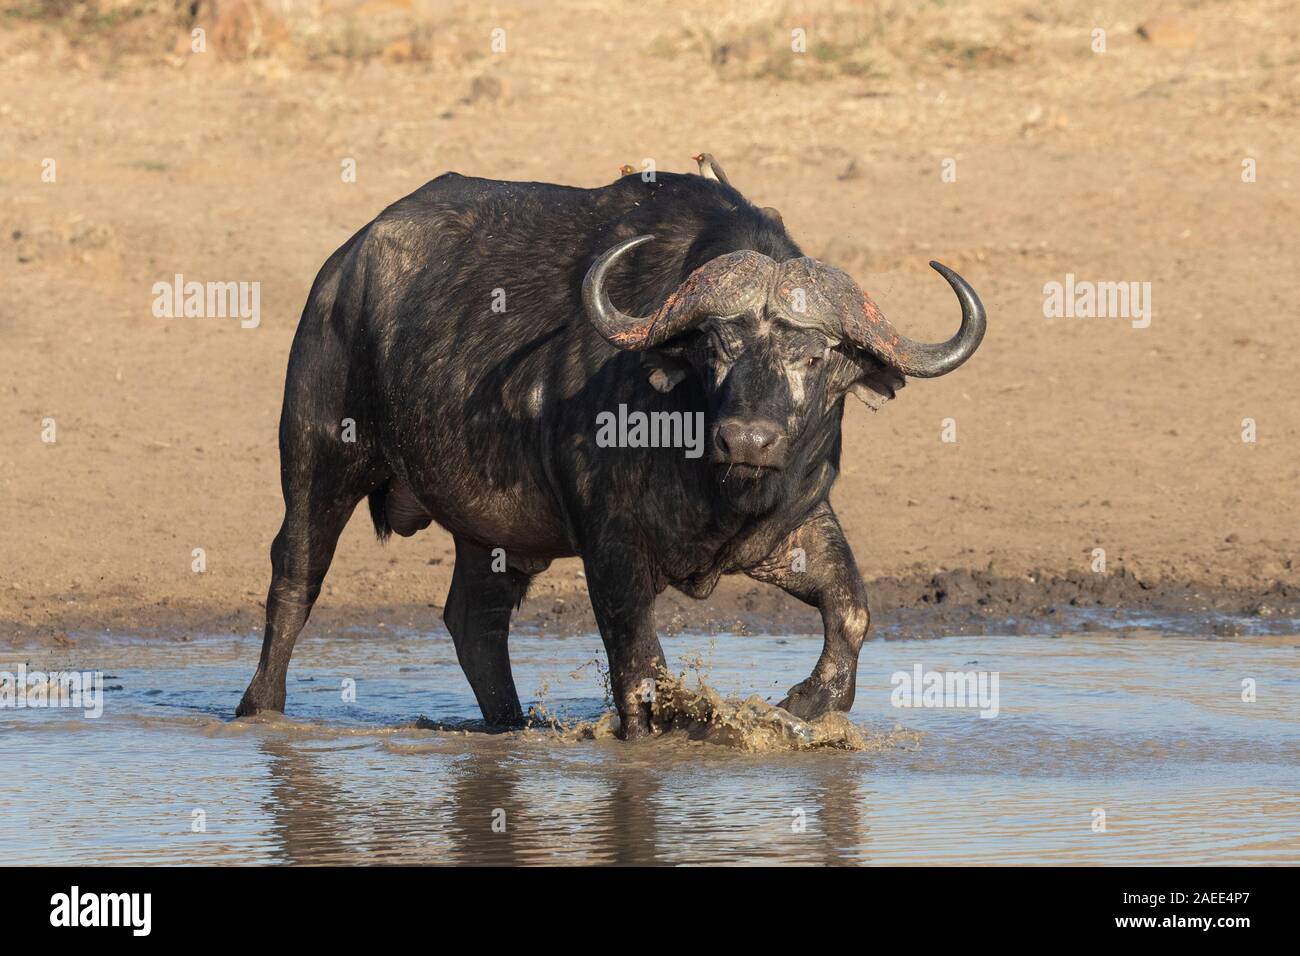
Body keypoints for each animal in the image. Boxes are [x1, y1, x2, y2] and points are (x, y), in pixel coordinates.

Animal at [235, 158, 986, 738]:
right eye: (719, 346)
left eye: (816, 356)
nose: (747, 438)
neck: (703, 469)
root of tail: (342, 269)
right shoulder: (611, 545)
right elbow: (640, 667)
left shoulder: (793, 524)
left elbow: (851, 608)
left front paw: (806, 703)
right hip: (319, 459)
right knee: (295, 578)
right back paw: (258, 709)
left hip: (494, 531)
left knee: (475, 621)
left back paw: (511, 724)